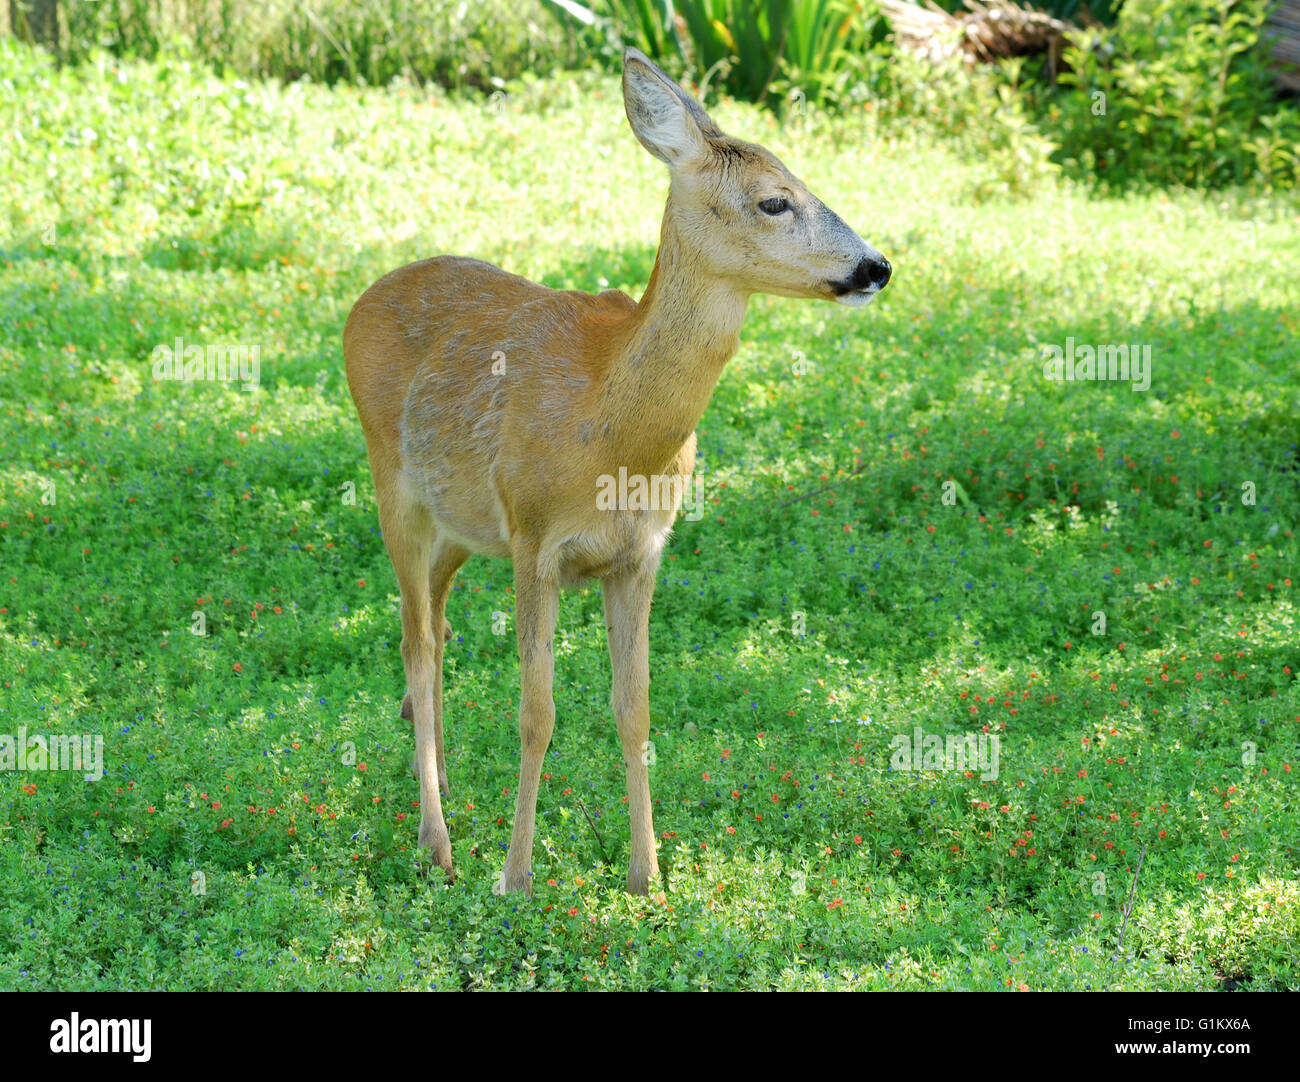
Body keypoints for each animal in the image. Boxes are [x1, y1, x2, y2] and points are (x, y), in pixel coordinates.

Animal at [343, 47, 890, 897]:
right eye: (774, 200)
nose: (876, 266)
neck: (614, 439)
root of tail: (360, 301)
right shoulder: (534, 537)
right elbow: (537, 712)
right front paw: (515, 877)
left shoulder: (642, 551)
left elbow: (633, 706)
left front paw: (647, 875)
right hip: (391, 485)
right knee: (418, 643)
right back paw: (437, 841)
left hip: (460, 525)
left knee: (434, 621)